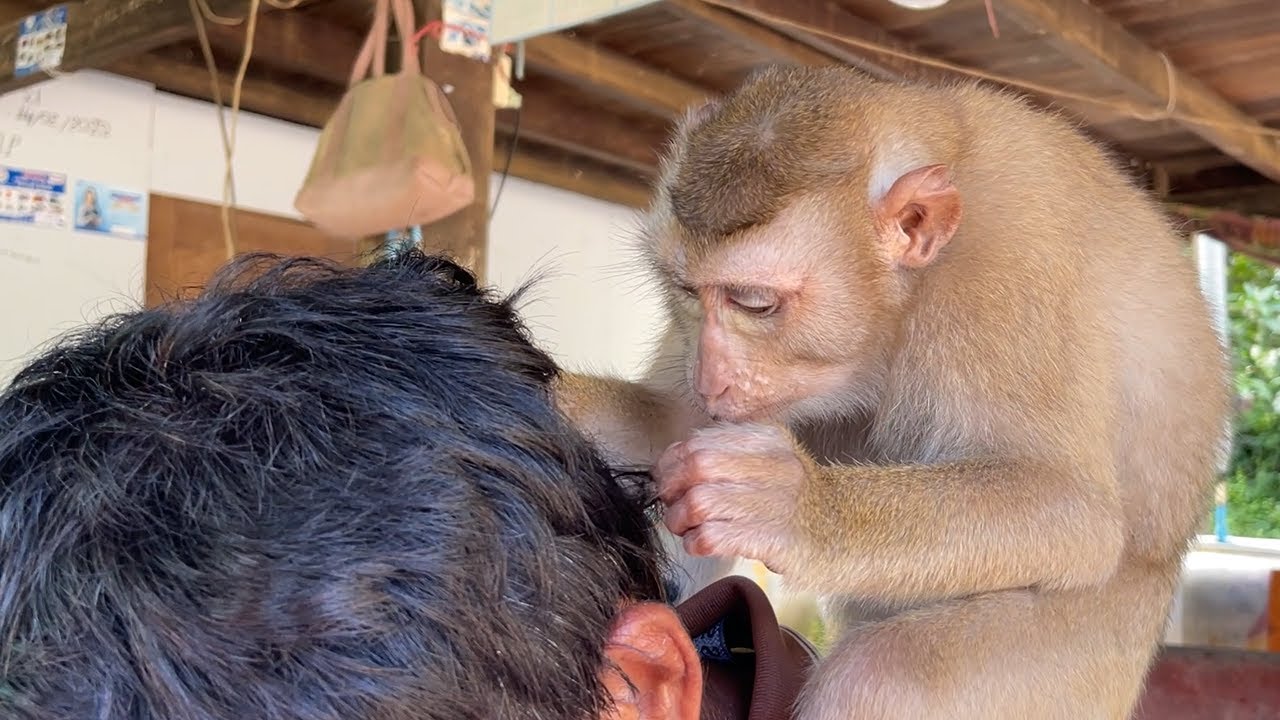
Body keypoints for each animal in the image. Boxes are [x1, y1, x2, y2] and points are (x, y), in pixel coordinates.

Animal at [555, 64, 1232, 720]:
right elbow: (672, 430)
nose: (710, 376)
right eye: (686, 291)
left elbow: (1071, 507)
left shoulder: (1009, 276)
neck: (910, 294)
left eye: (755, 303)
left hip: (1095, 649)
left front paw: (793, 506)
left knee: (881, 677)